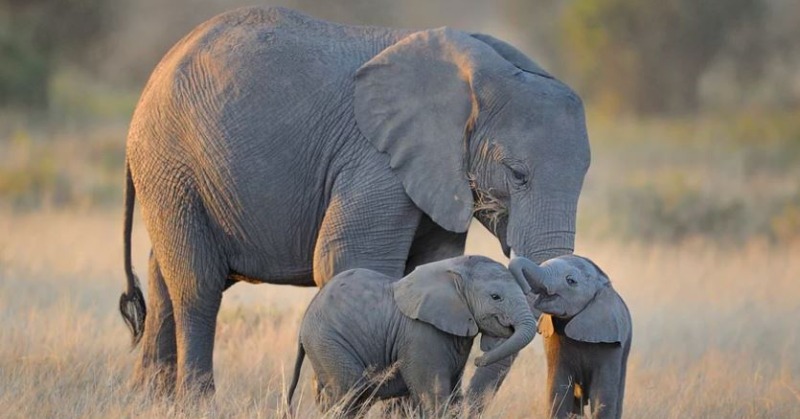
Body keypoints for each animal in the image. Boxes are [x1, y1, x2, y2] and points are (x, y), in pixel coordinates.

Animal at [117, 6, 590, 399]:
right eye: (517, 175)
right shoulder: (374, 159)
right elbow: (349, 259)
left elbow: (430, 266)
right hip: (171, 162)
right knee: (197, 284)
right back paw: (196, 401)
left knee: (164, 275)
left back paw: (148, 399)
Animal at [286, 256, 536, 416]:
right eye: (496, 297)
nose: (478, 360)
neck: (454, 269)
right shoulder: (422, 335)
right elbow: (433, 396)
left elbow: (453, 394)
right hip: (328, 342)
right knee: (349, 393)